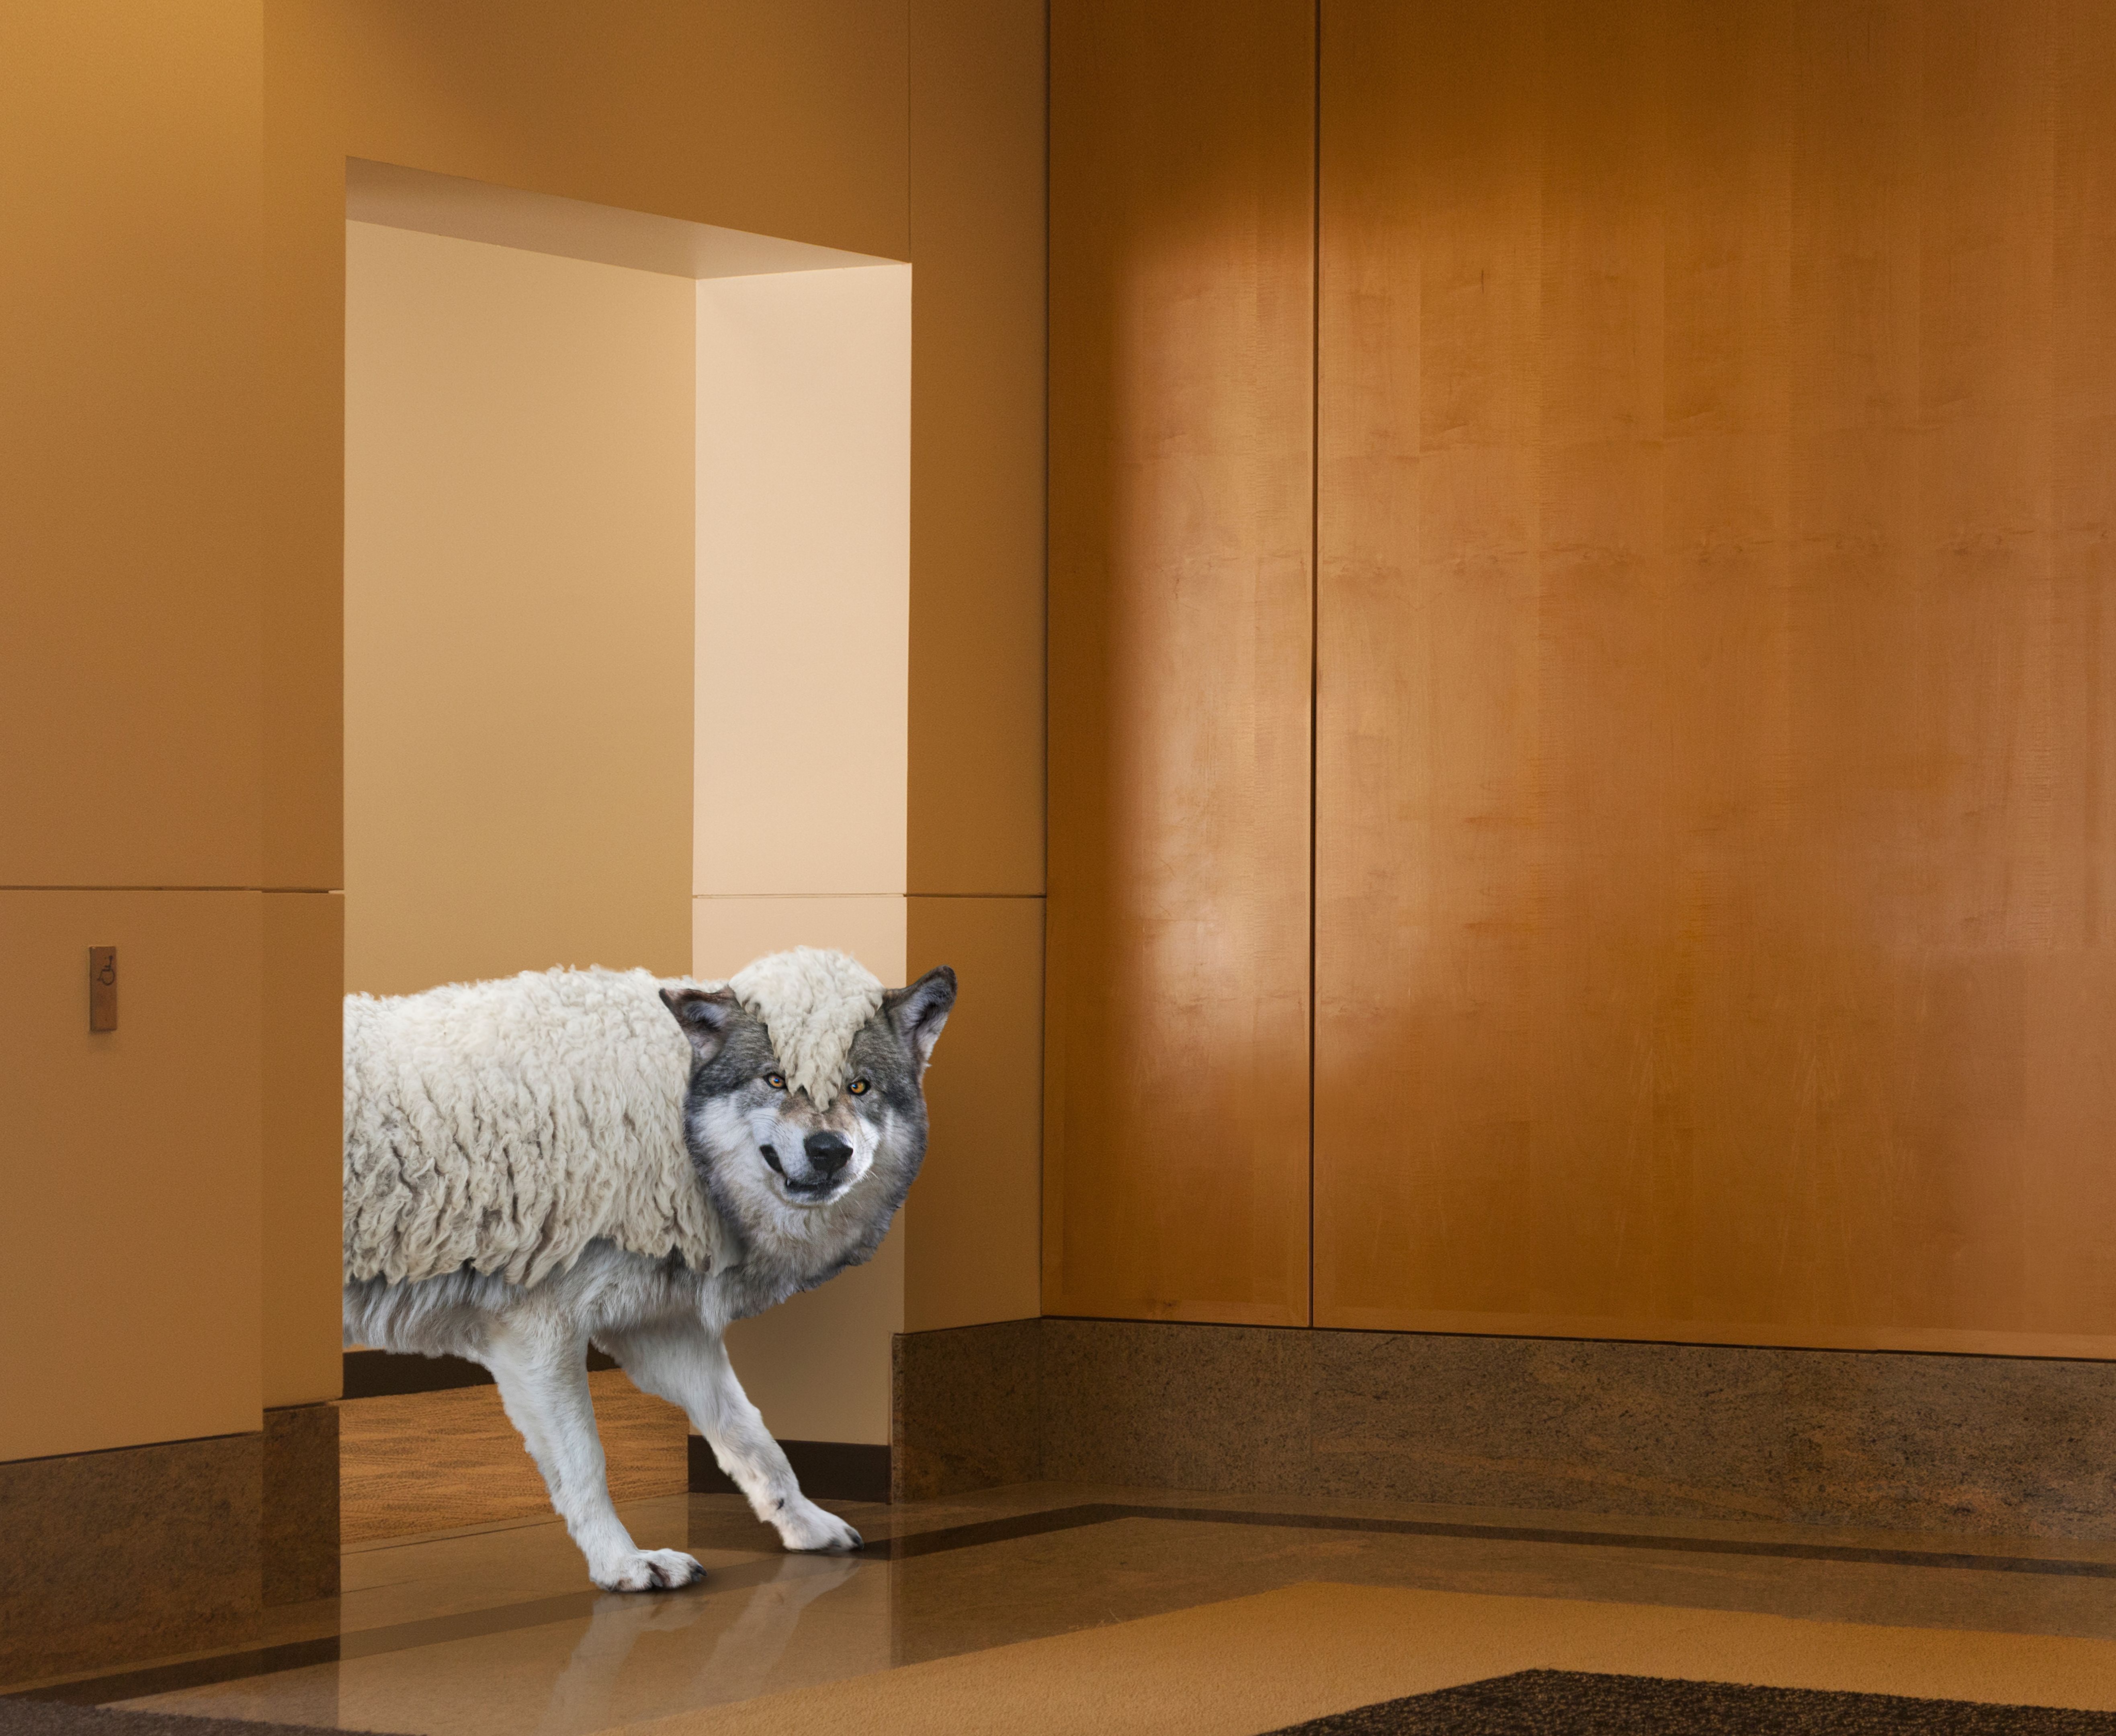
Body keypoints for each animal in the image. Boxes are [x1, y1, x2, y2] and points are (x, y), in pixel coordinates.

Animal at [341, 947, 955, 1591]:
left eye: (859, 1086)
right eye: (776, 1079)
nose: (830, 1151)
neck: (672, 1119)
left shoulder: (662, 1330)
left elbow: (753, 1438)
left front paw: (805, 1527)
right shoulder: (538, 1337)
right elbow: (585, 1463)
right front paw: (622, 1565)